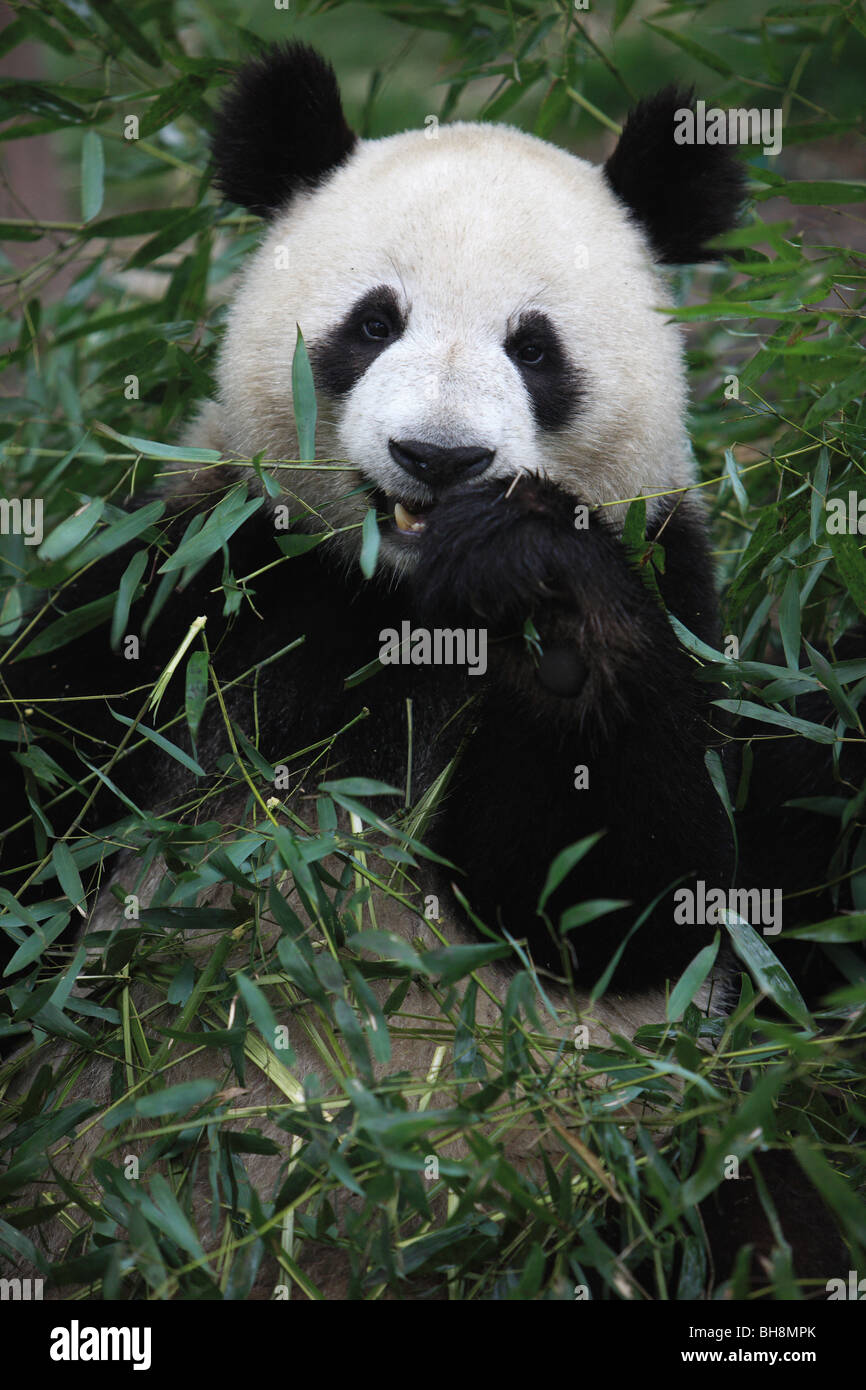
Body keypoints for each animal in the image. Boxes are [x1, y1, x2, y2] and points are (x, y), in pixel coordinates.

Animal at [0, 43, 853, 1299]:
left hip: (633, 1180)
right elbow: (47, 771)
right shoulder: (194, 587)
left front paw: (538, 586)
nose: (437, 458)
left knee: (755, 1193)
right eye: (371, 322)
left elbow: (636, 903)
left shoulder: (677, 595)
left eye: (533, 348)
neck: (404, 599)